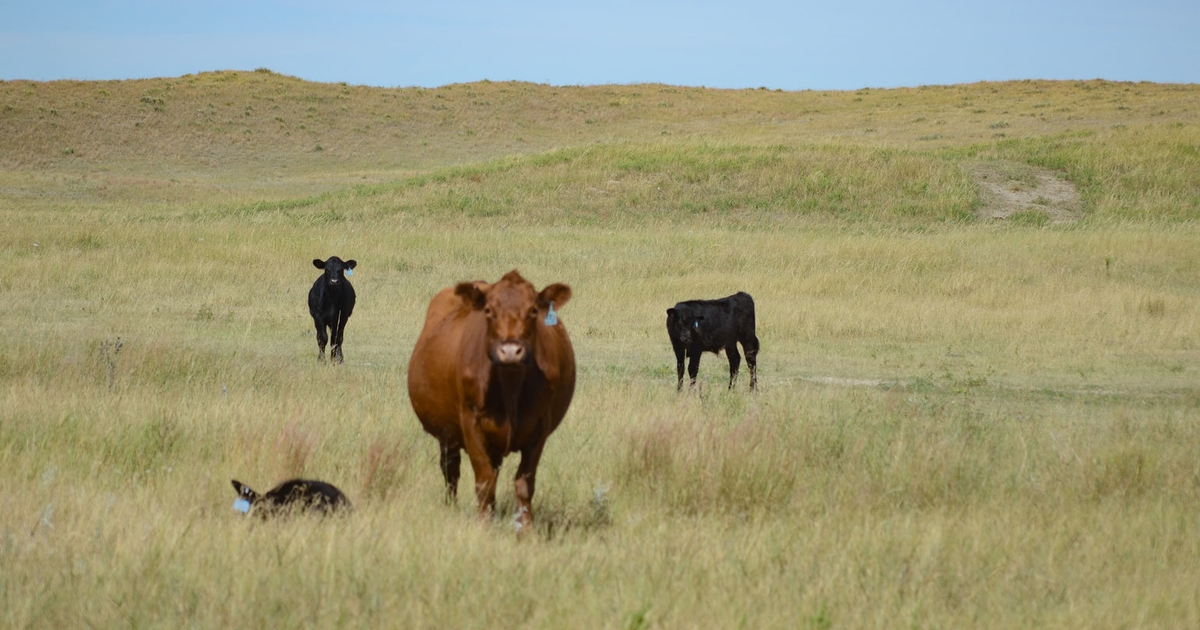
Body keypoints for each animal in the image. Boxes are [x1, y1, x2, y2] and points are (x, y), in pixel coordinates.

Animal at [407, 270, 575, 532]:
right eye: (488, 311)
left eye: (533, 311)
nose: (510, 351)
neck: (510, 387)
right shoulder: (471, 423)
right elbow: (484, 481)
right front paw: (484, 525)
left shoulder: (540, 427)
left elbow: (524, 483)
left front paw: (525, 528)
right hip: (447, 435)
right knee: (451, 471)